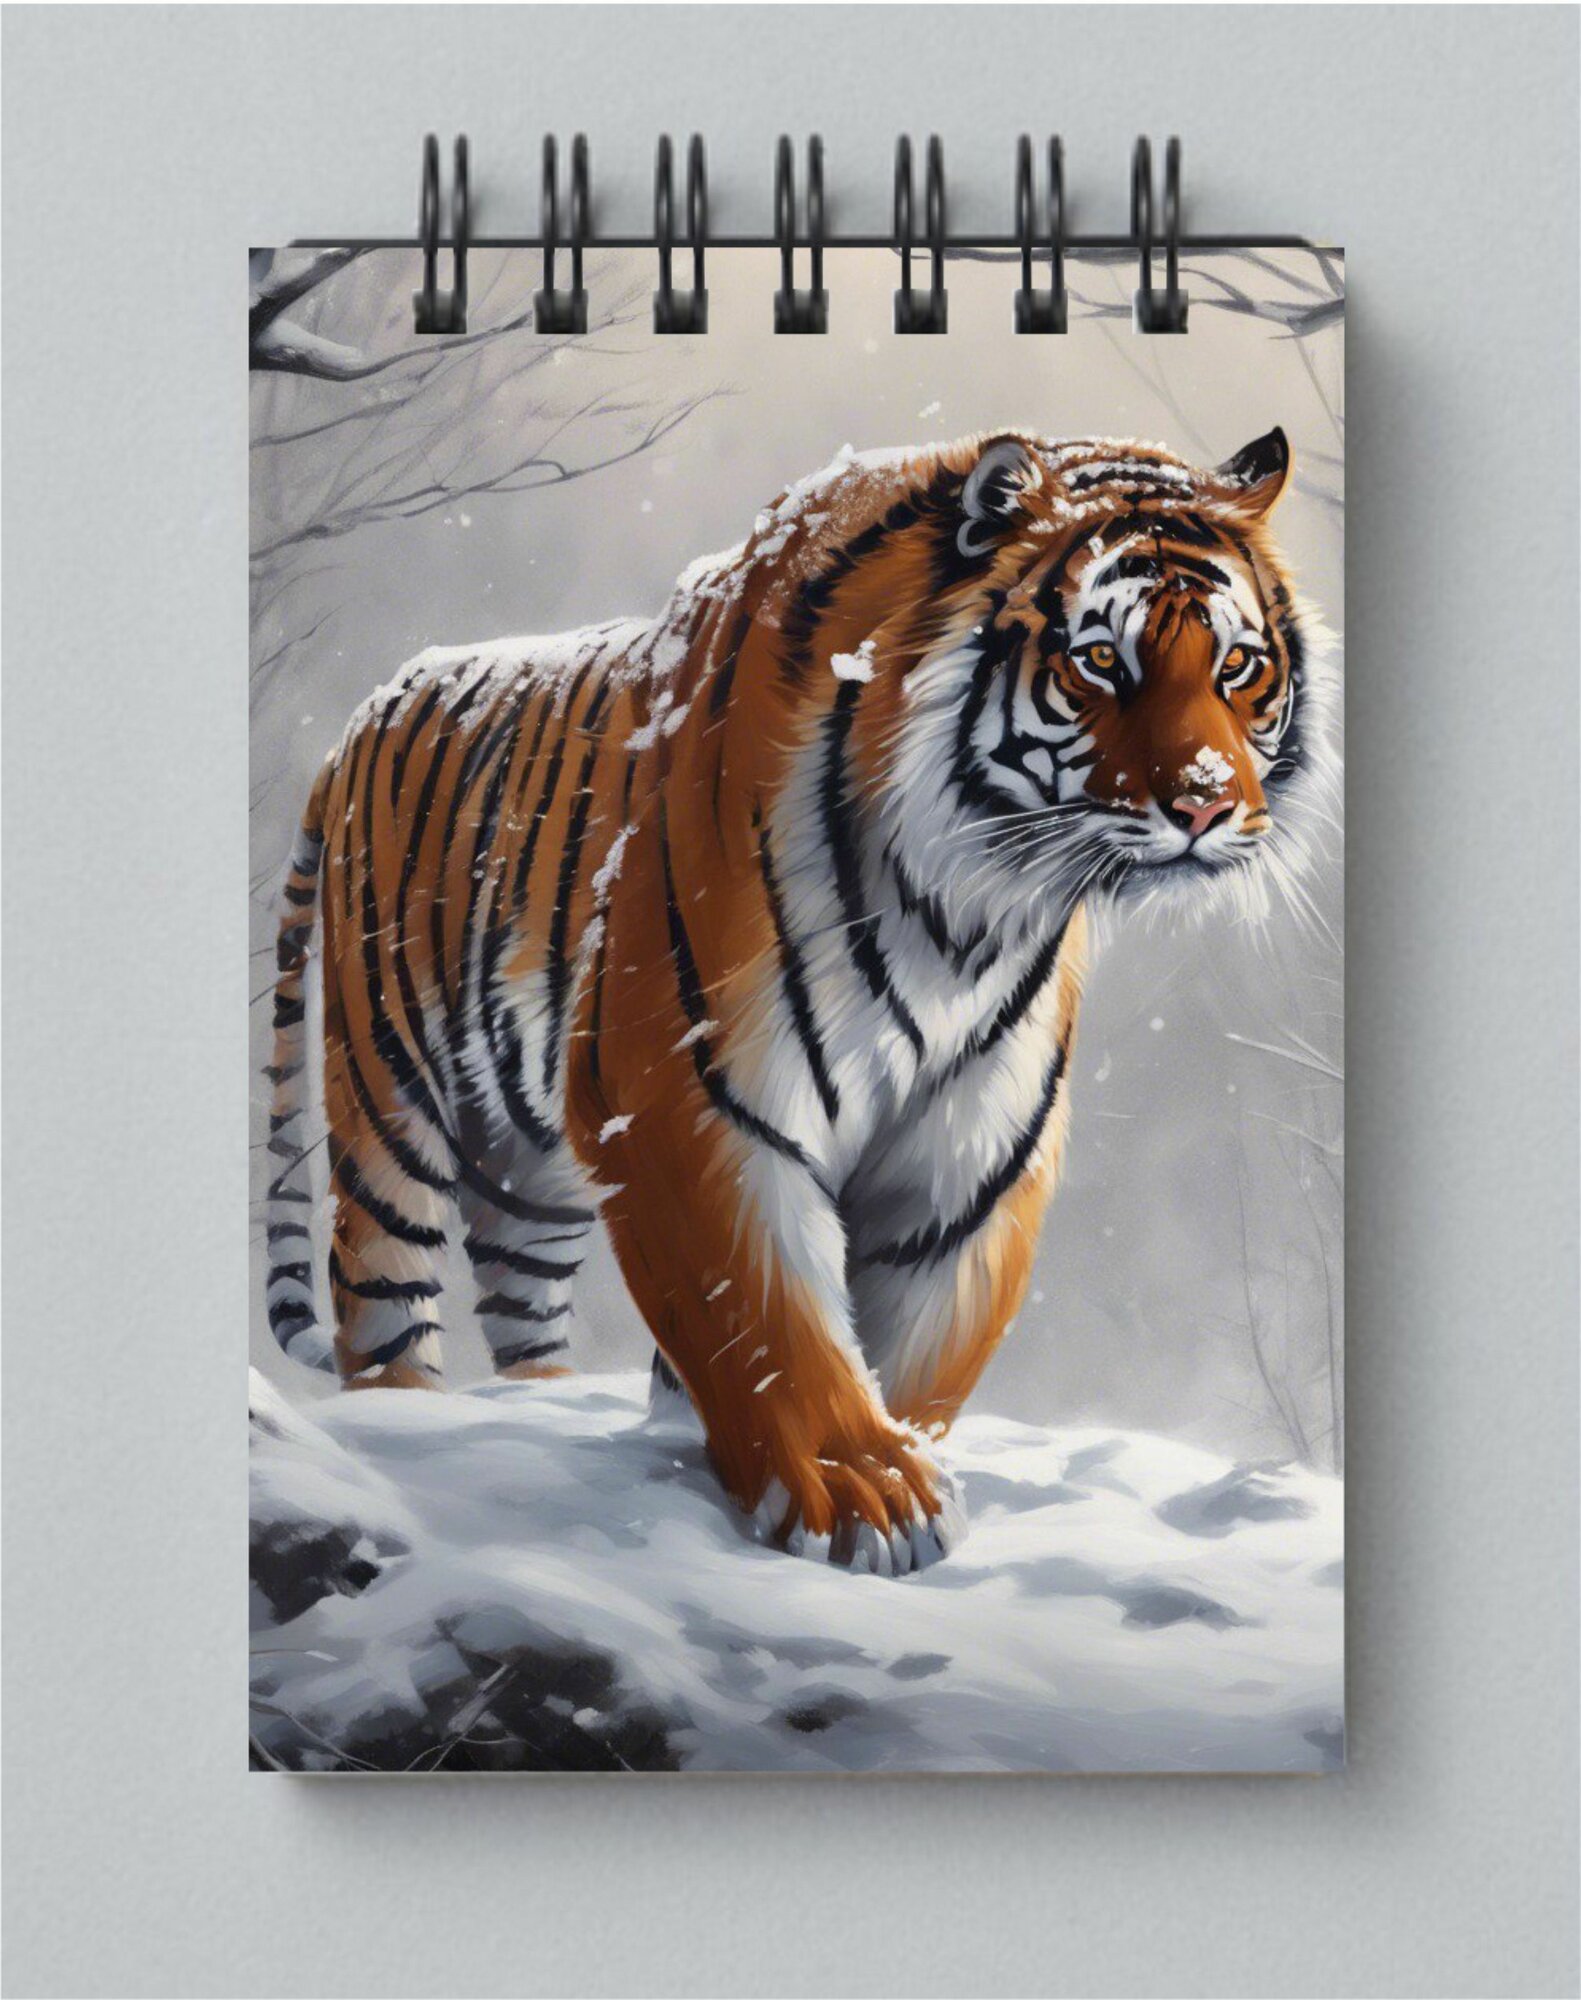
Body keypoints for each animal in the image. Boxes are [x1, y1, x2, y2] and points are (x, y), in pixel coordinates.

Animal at [264, 426, 1329, 1576]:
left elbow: (919, 1340)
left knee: (519, 1294)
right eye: (1099, 662)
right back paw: (410, 1414)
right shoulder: (684, 1092)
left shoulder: (976, 1149)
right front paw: (858, 1493)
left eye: (1237, 665)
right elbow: (768, 1318)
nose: (1207, 804)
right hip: (387, 1103)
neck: (968, 912)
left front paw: (875, 1467)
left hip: (528, 1169)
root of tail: (367, 709)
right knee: (380, 1294)